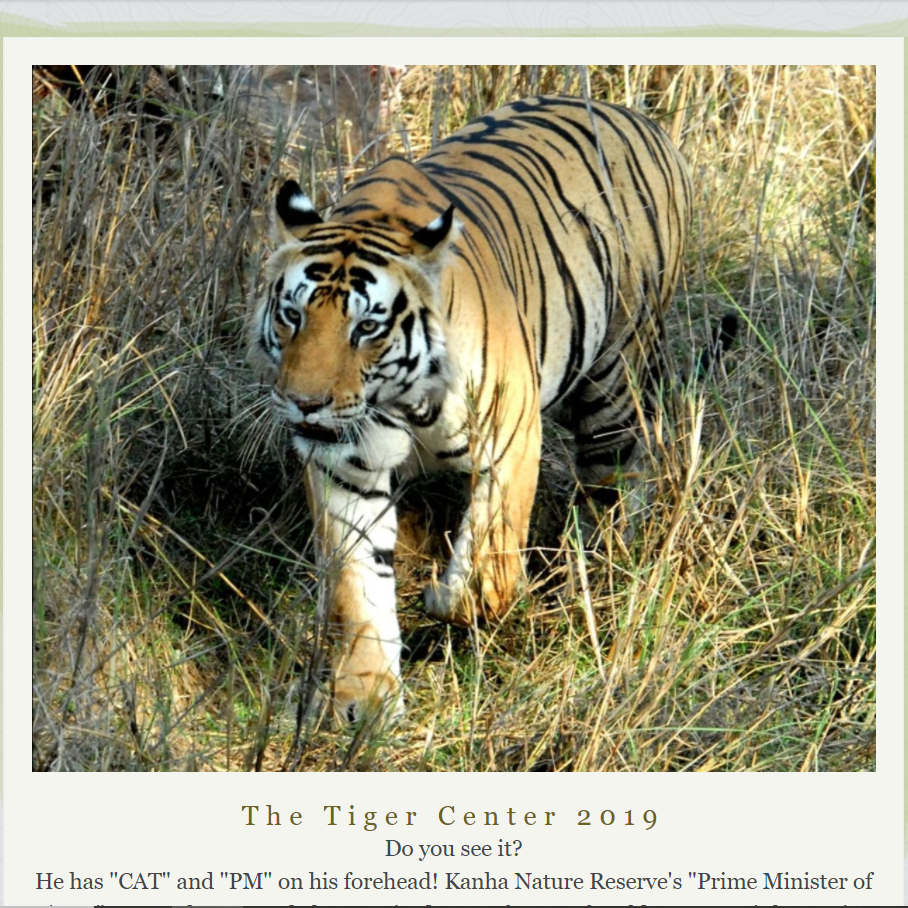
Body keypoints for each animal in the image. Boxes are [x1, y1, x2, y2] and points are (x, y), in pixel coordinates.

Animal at [249, 94, 692, 722]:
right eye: (293, 315)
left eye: (366, 328)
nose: (303, 404)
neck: (400, 400)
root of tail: (642, 120)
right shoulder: (345, 465)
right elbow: (357, 584)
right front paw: (366, 696)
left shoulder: (512, 439)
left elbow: (489, 574)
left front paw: (442, 596)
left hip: (615, 377)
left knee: (618, 479)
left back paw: (598, 580)